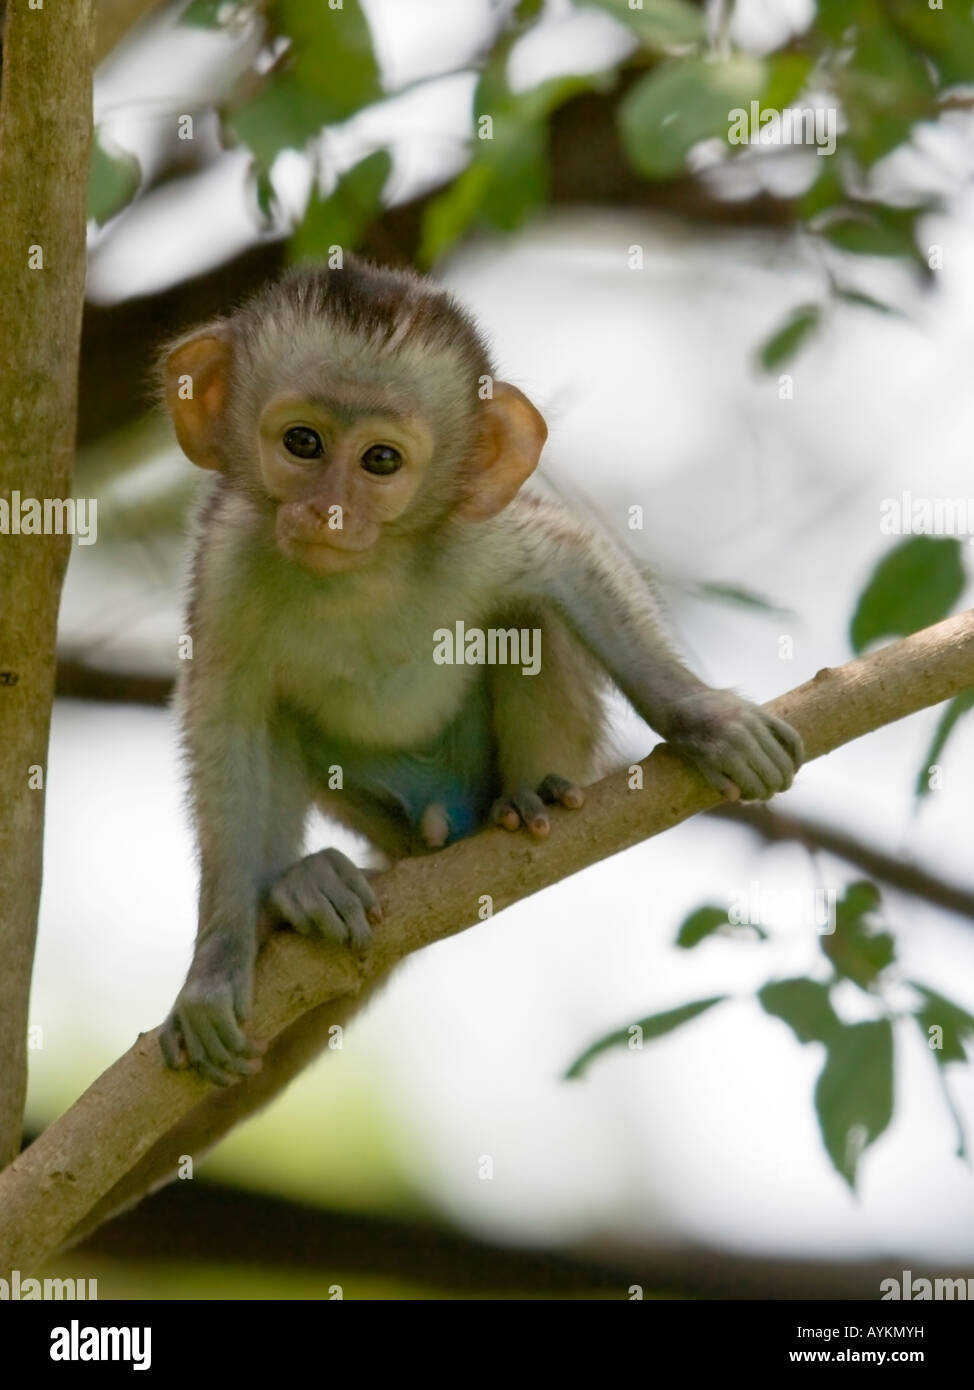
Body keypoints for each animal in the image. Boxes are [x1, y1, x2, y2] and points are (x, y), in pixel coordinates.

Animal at [157, 254, 803, 1090]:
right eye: (303, 442)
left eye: (380, 460)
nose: (328, 512)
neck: (358, 579)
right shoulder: (229, 561)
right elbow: (225, 717)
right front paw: (217, 960)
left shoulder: (470, 534)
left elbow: (568, 563)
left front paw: (707, 720)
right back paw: (296, 890)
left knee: (529, 620)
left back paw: (529, 798)